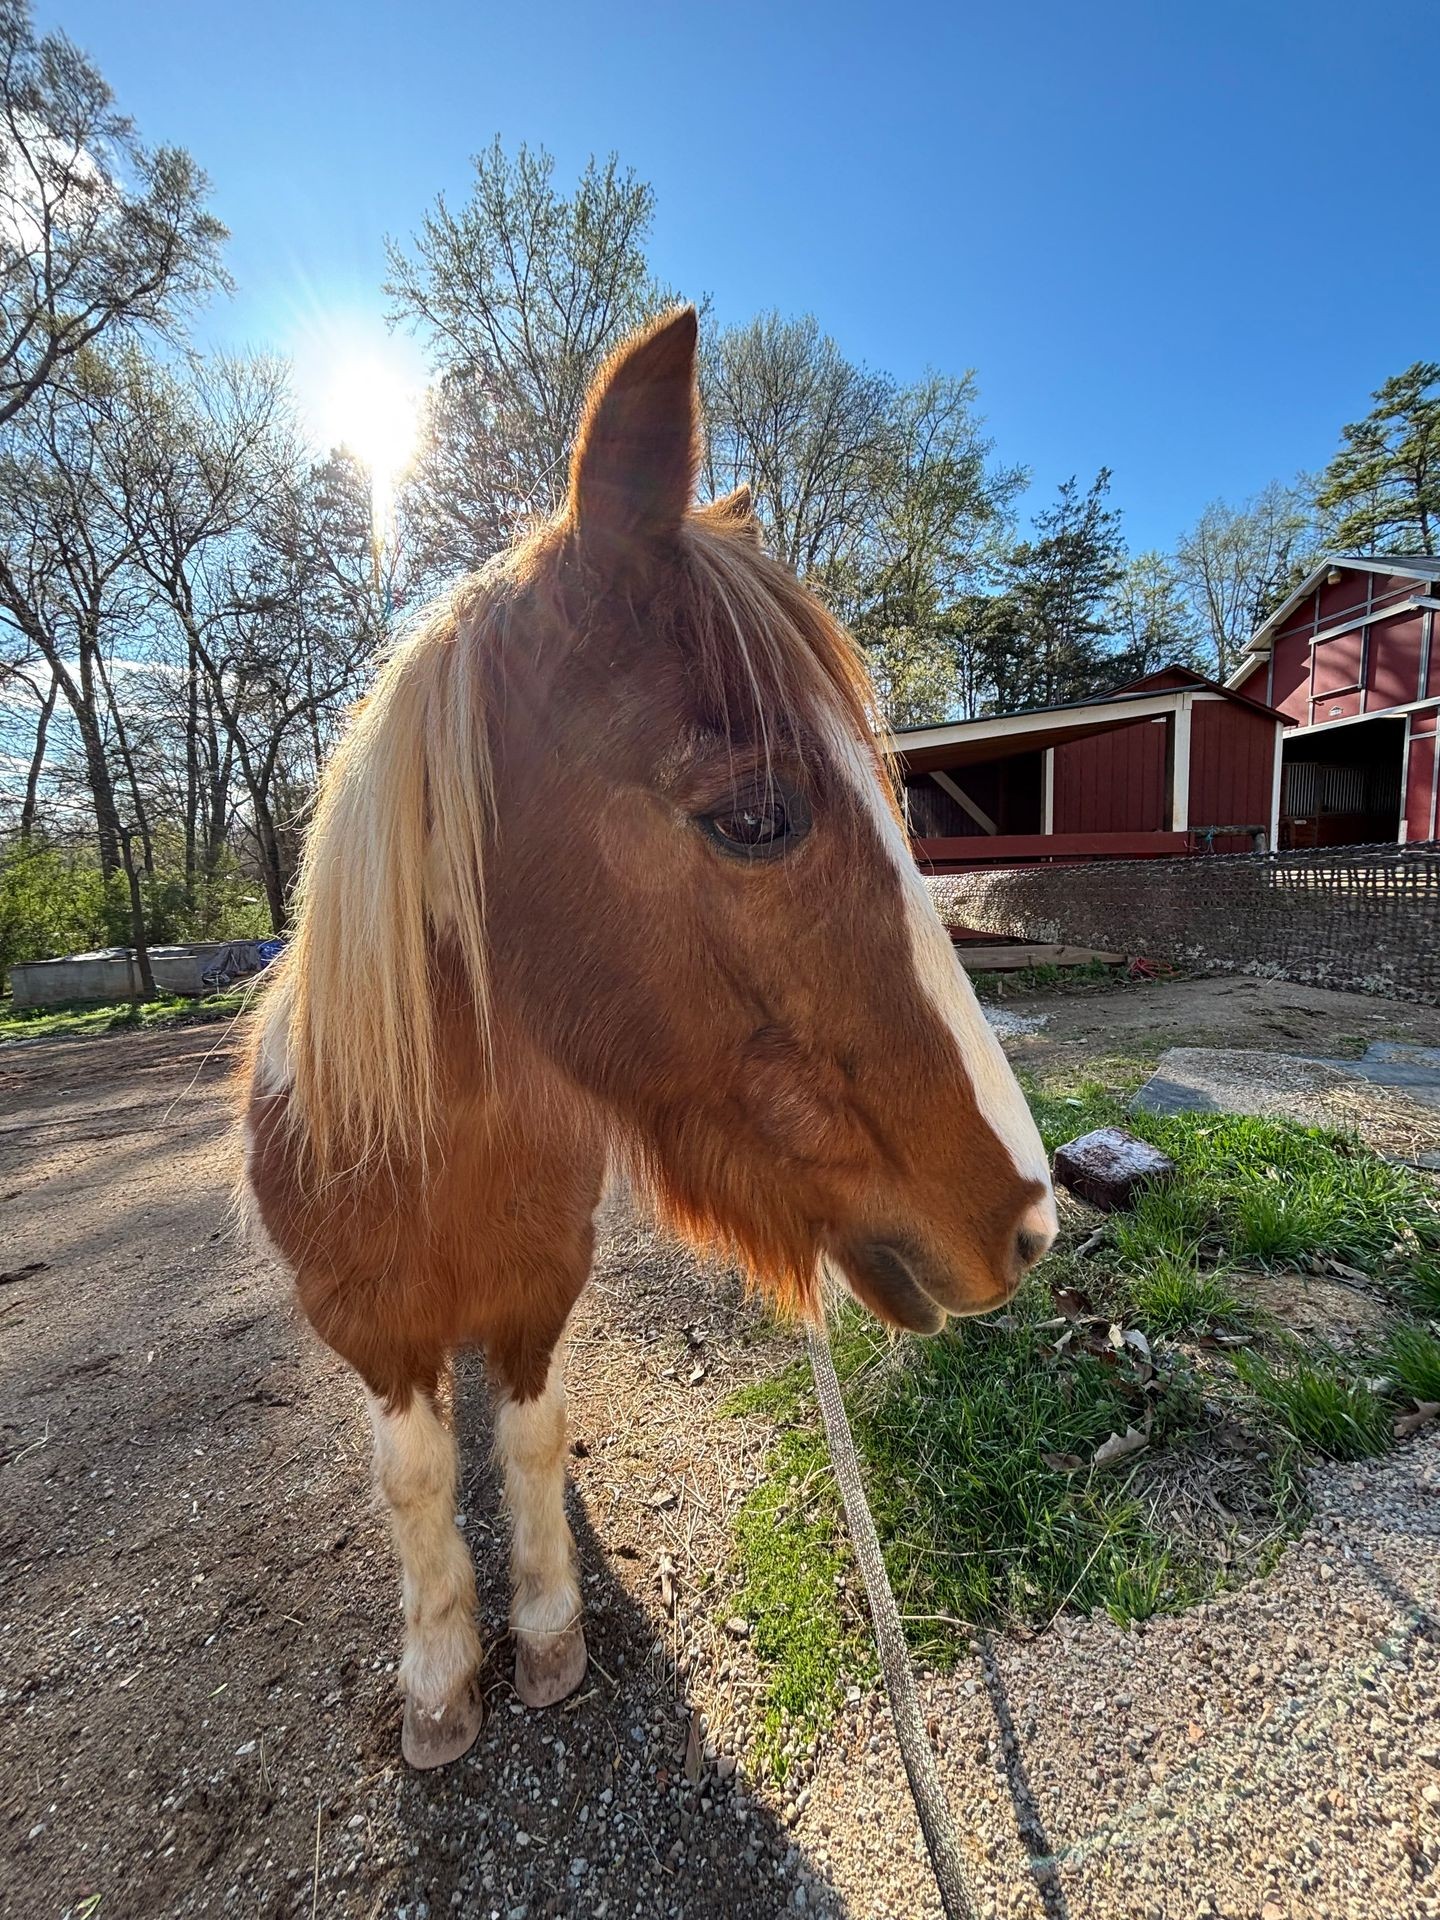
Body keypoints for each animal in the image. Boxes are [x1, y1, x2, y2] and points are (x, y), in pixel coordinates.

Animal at [240, 306, 1056, 1769]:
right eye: (758, 817)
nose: (1031, 1222)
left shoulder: (540, 1297)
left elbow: (528, 1443)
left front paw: (549, 1635)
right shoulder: (369, 1327)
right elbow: (415, 1480)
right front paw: (441, 1680)